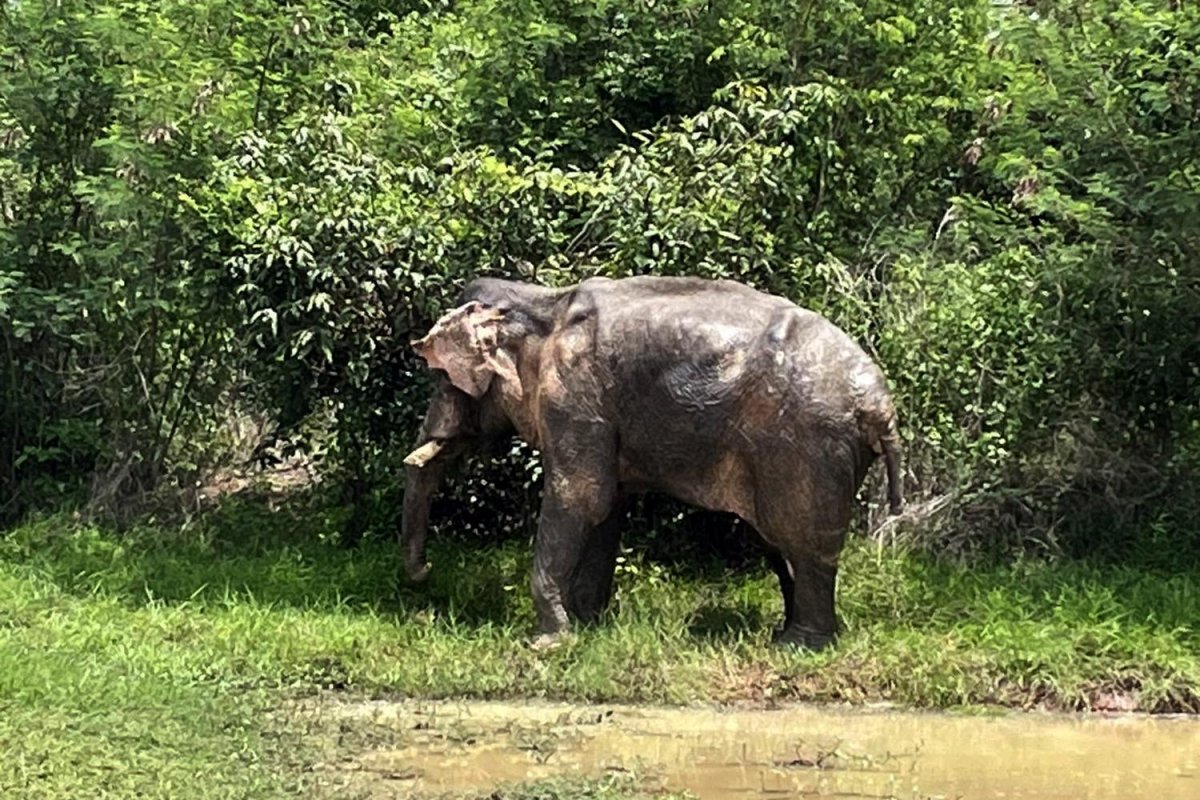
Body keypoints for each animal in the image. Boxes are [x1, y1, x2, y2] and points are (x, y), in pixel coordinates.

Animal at [400, 275, 902, 651]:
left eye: (443, 379)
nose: (424, 572)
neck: (541, 302)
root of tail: (880, 403)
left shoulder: (574, 395)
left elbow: (580, 498)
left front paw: (549, 643)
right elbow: (605, 508)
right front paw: (588, 624)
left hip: (809, 447)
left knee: (801, 542)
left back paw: (797, 646)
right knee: (783, 545)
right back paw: (792, 635)